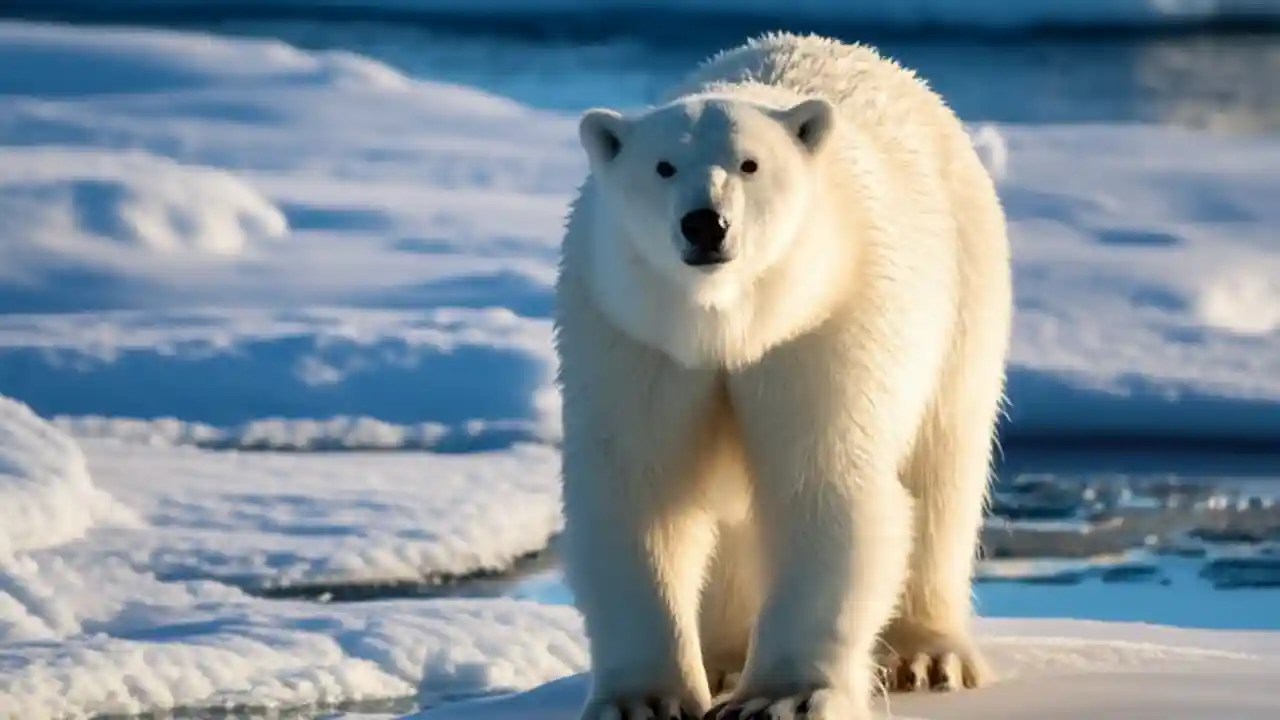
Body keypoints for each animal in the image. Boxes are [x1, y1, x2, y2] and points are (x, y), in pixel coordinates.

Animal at [555, 33, 1011, 720]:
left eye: (749, 164)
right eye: (663, 167)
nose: (705, 223)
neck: (729, 324)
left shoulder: (823, 324)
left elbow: (821, 481)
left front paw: (781, 697)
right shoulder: (632, 332)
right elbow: (638, 488)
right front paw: (646, 700)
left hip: (965, 294)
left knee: (942, 471)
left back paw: (927, 654)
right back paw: (722, 654)